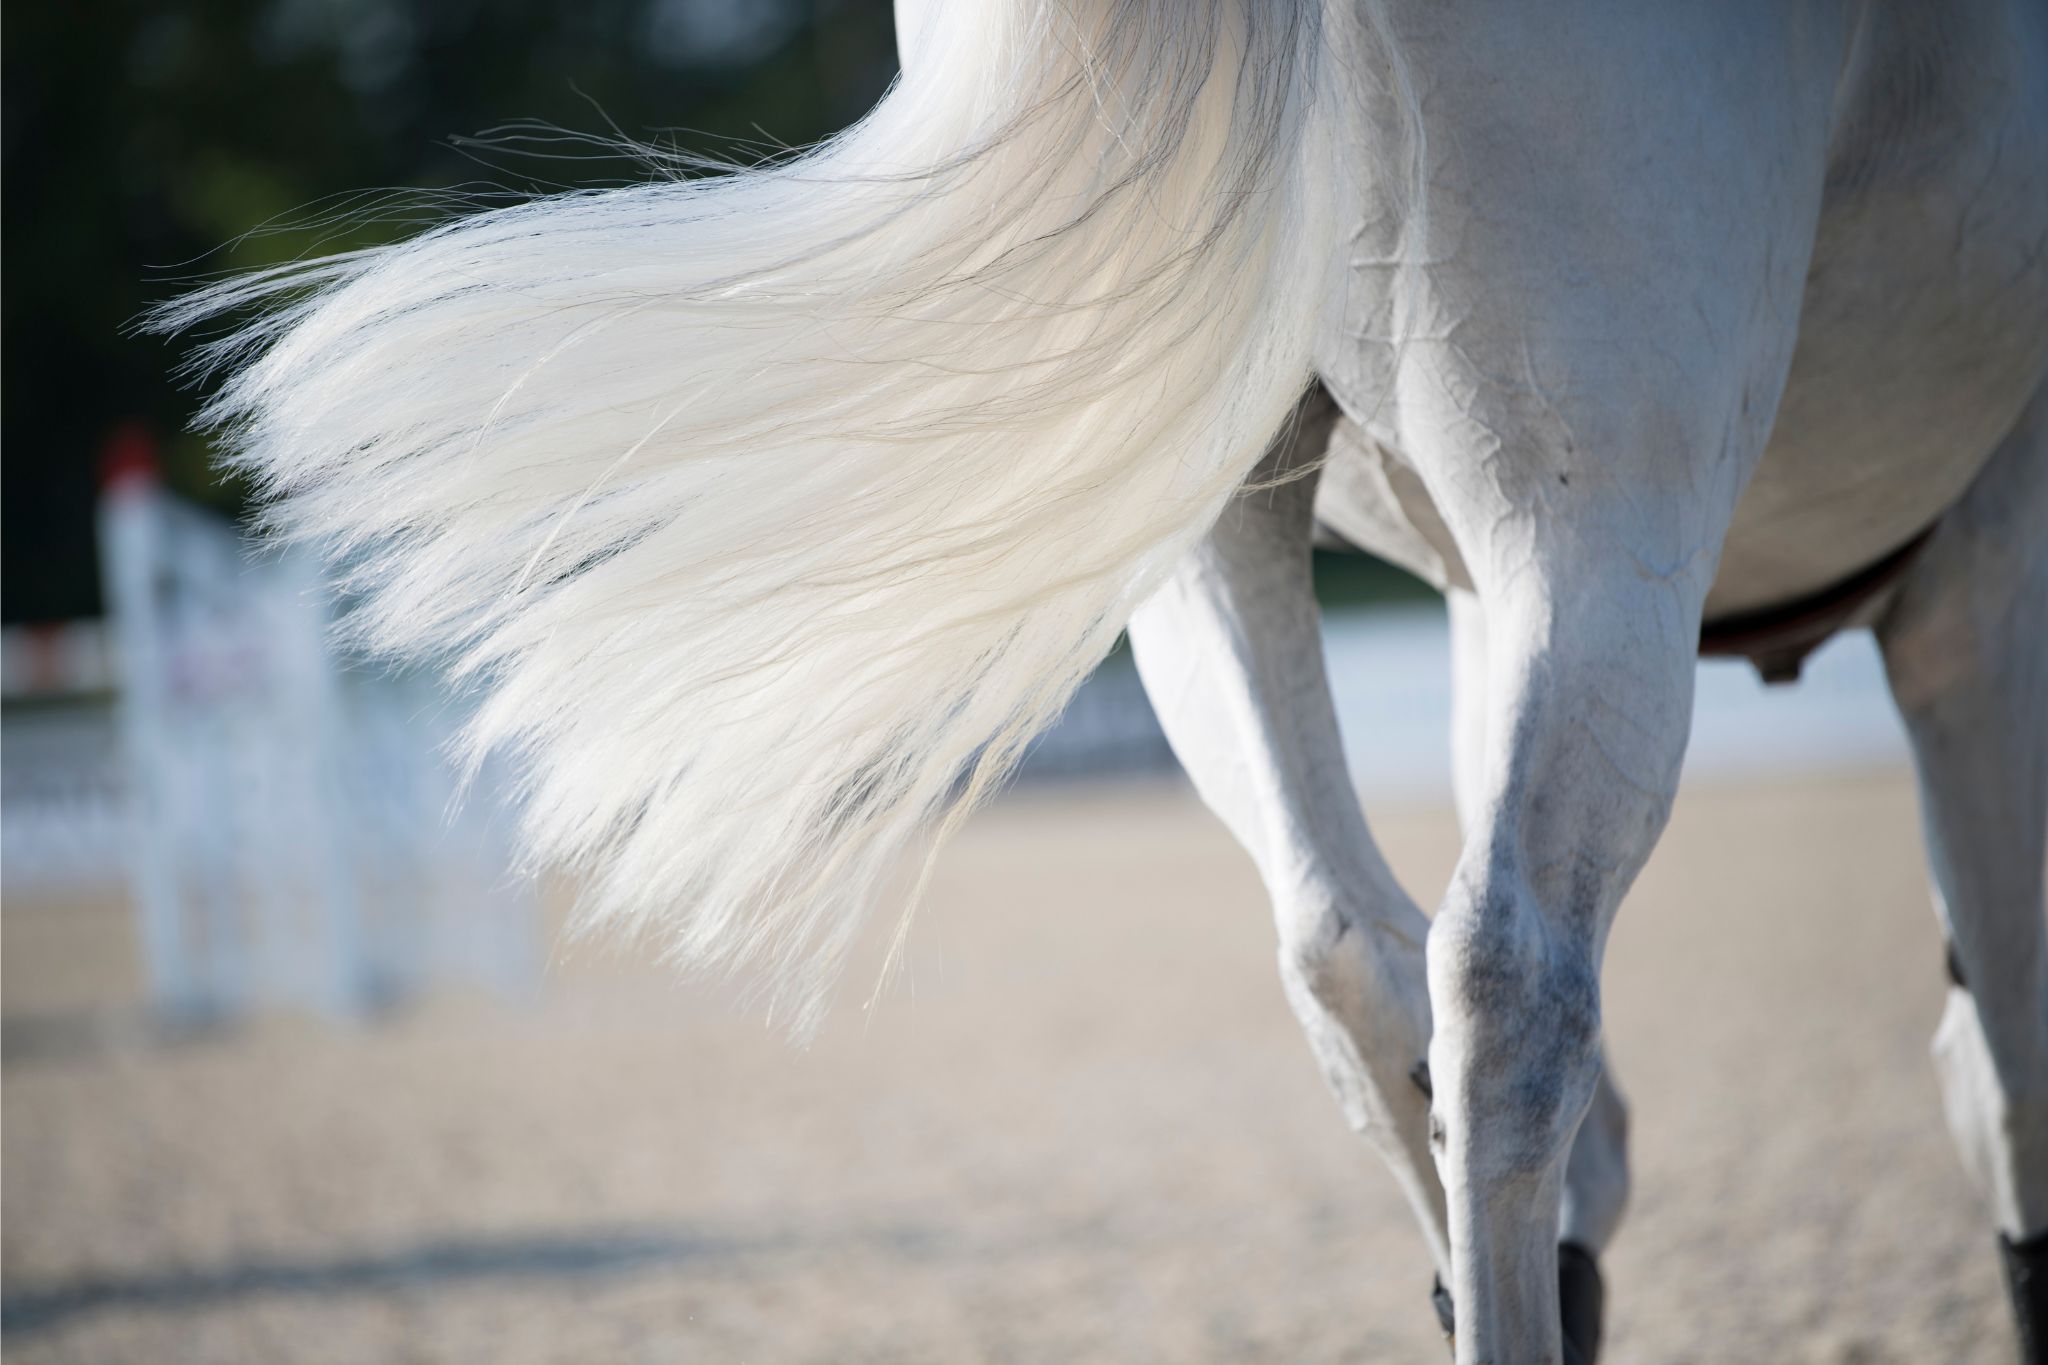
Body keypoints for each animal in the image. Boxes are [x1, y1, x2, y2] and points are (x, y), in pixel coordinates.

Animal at [156, 2, 2048, 1359]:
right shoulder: (1980, 578)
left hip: (1224, 530)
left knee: (1358, 965)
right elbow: (2008, 1060)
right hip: (1587, 527)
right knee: (1505, 990)